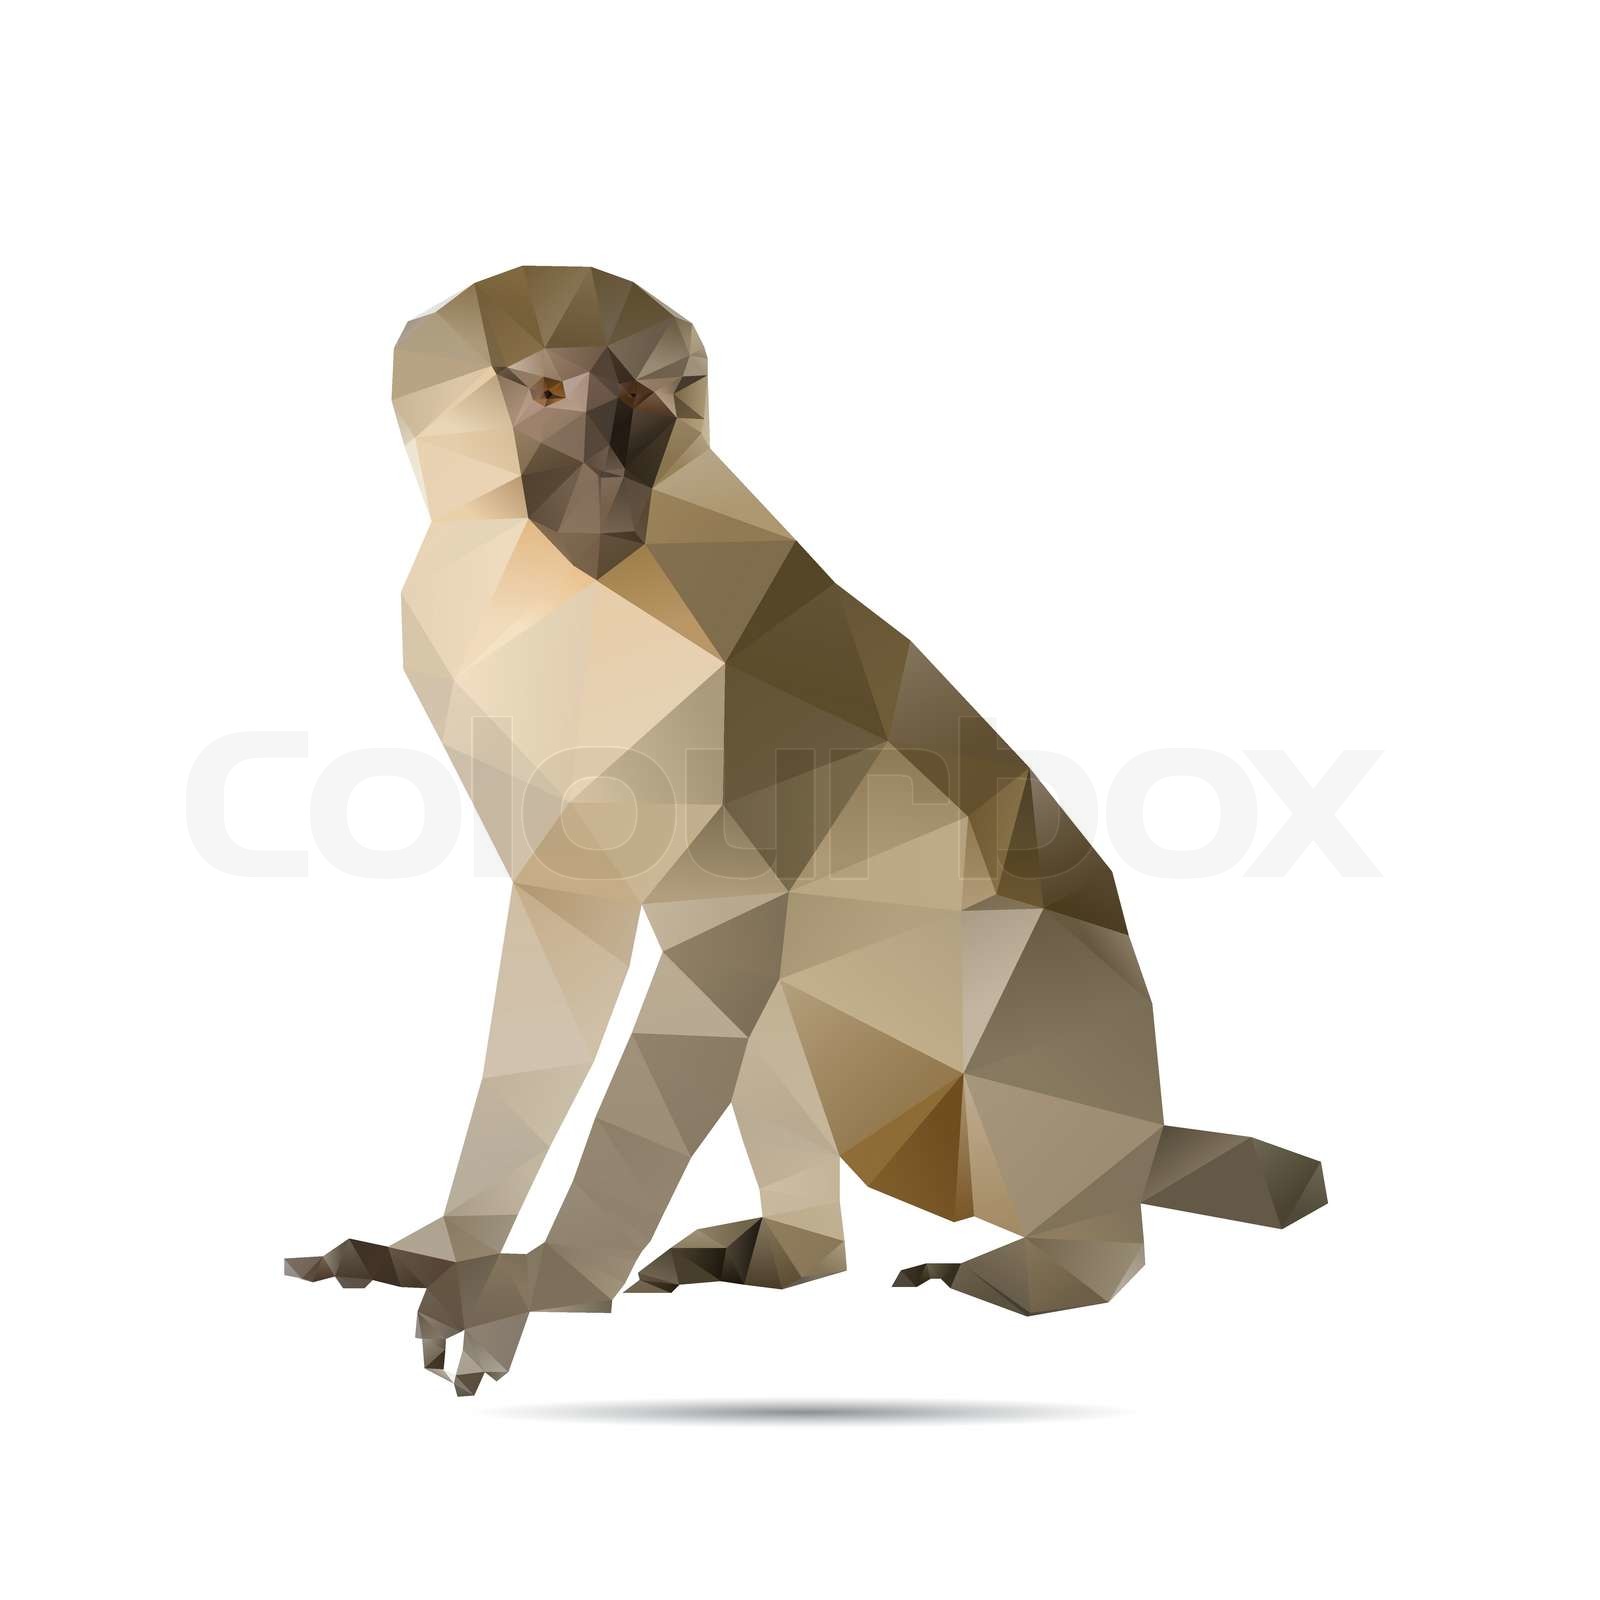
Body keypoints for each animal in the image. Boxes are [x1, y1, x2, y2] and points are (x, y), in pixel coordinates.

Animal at [287, 266, 1325, 1396]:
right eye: (552, 393)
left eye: (655, 400)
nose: (614, 489)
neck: (533, 585)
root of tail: (1144, 1130)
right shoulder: (558, 885)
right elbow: (526, 1060)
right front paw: (444, 1244)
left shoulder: (728, 856)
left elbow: (644, 1097)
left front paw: (530, 1286)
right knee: (793, 1094)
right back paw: (777, 1254)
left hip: (991, 1032)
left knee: (1093, 1210)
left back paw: (1033, 1271)